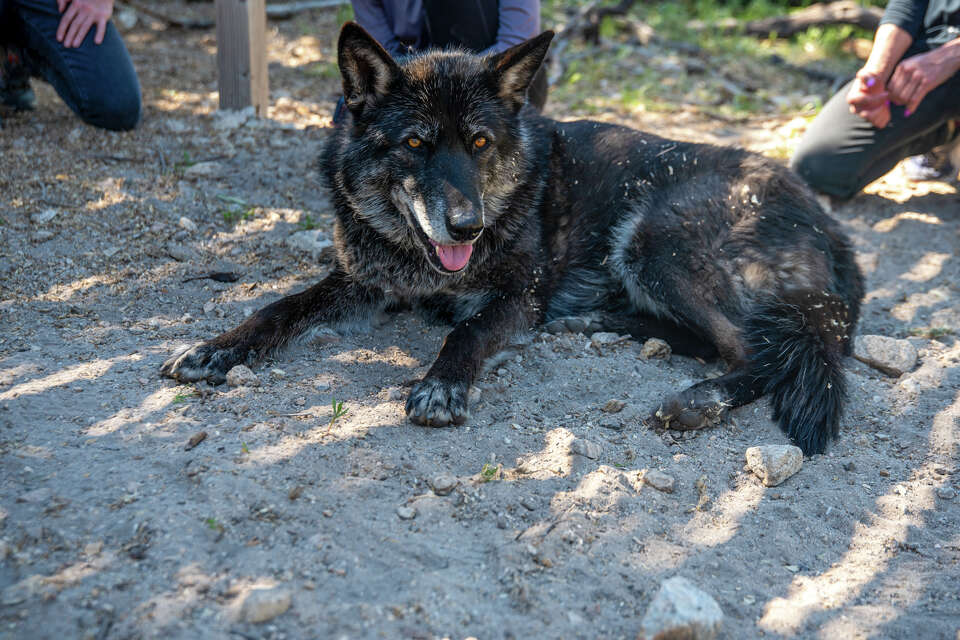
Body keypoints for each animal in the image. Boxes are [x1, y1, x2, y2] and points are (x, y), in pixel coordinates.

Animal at [161, 23, 864, 455]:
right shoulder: (360, 281)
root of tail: (828, 224)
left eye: (478, 142)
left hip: (655, 242)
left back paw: (701, 397)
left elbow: (467, 330)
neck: (425, 267)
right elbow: (278, 308)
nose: (468, 226)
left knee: (754, 350)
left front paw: (442, 385)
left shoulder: (516, 296)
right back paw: (597, 323)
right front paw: (216, 349)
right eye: (415, 142)